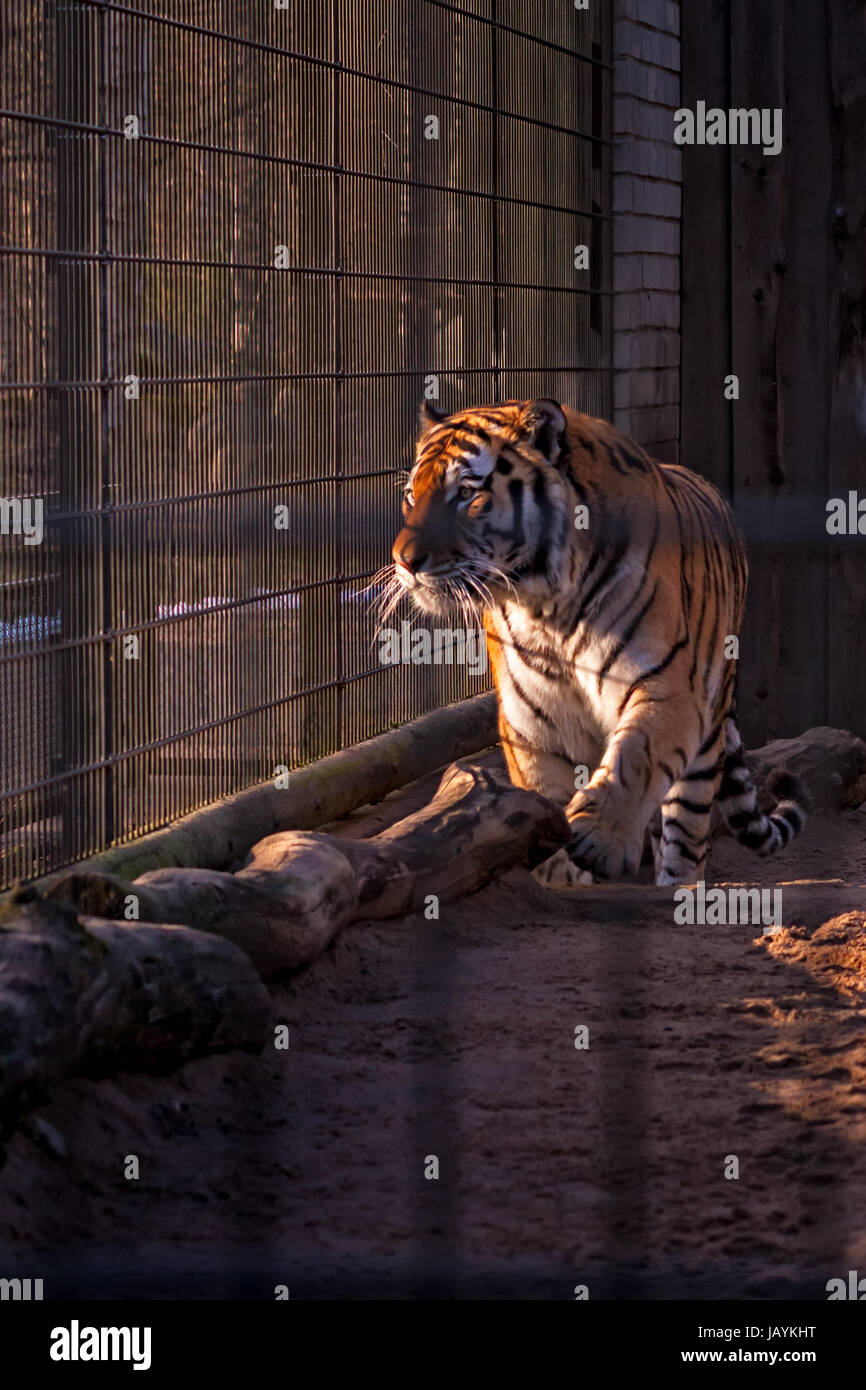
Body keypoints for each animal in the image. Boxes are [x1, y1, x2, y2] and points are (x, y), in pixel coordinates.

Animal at [389, 397, 809, 887]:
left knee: (684, 835)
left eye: (466, 494)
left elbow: (636, 757)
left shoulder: (666, 684)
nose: (404, 561)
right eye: (410, 495)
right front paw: (561, 879)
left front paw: (598, 838)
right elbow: (545, 801)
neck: (545, 607)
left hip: (707, 732)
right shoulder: (533, 721)